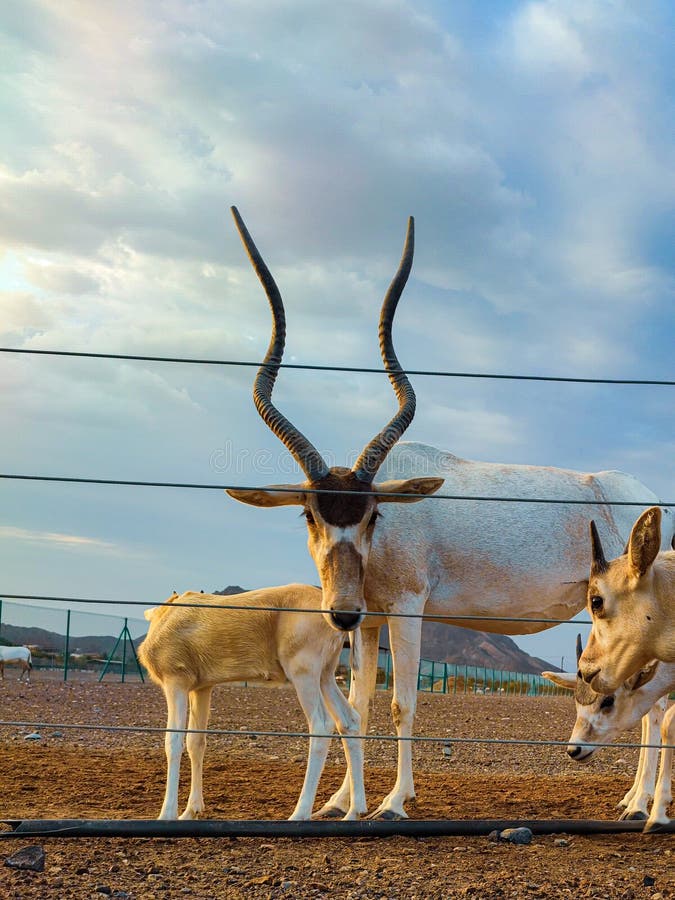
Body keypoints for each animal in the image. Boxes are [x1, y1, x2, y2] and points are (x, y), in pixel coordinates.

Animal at [138, 584, 366, 821]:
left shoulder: (176, 682)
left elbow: (173, 741)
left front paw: (167, 814)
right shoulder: (201, 688)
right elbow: (196, 742)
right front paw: (191, 811)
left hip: (304, 673)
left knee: (321, 726)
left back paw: (300, 813)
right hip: (325, 675)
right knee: (349, 720)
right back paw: (354, 811)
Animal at [543, 635, 673, 824]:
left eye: (608, 700)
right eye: (576, 700)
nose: (574, 750)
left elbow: (665, 723)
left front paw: (642, 809)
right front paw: (633, 802)